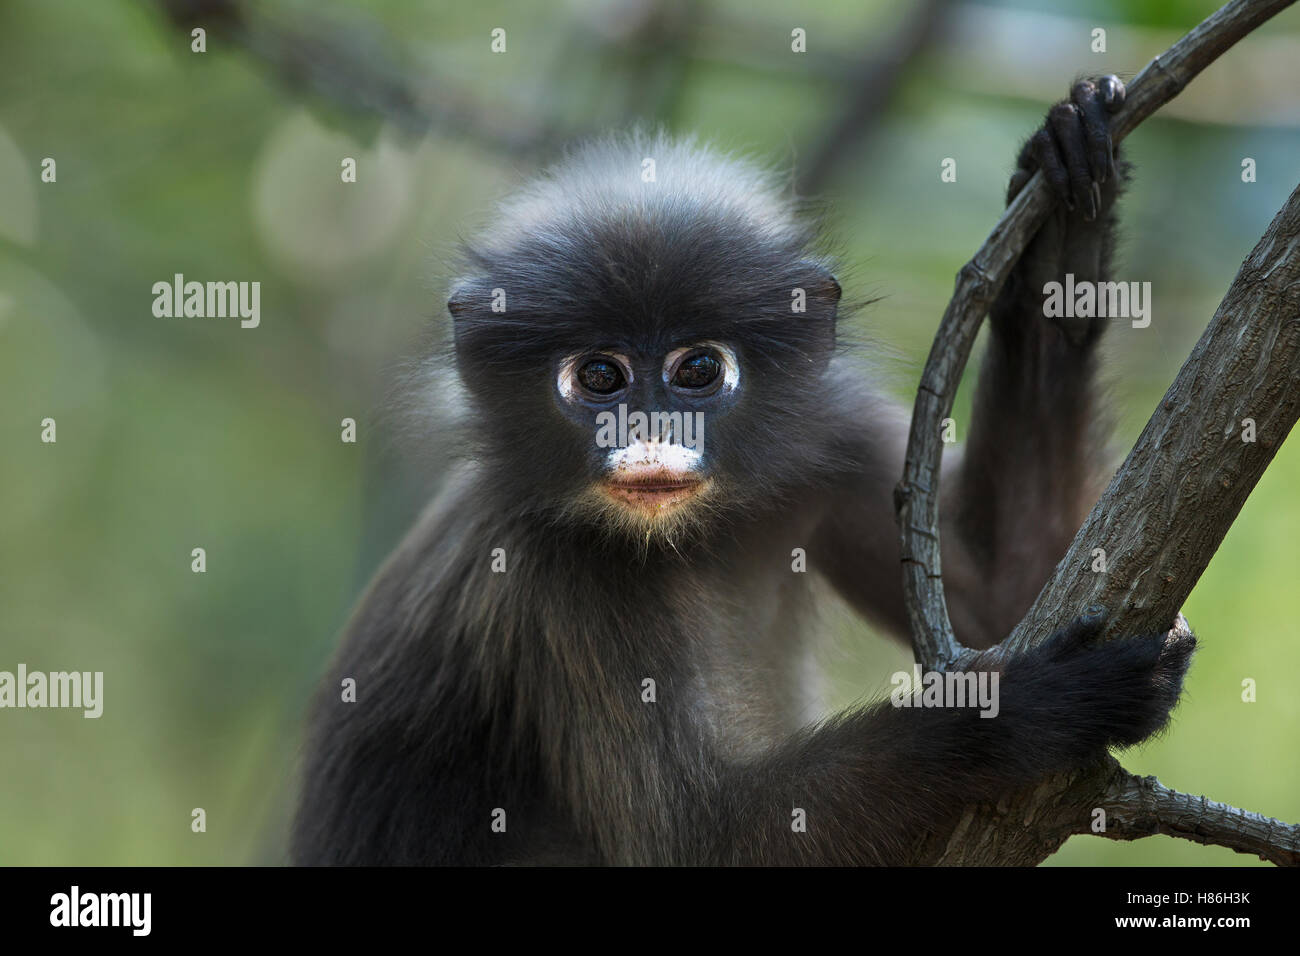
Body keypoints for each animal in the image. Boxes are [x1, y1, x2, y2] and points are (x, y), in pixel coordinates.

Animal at [291, 75, 1195, 866]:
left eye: (697, 370)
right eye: (599, 377)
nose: (650, 432)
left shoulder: (834, 437)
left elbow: (1004, 592)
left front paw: (1059, 244)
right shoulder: (552, 564)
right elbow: (695, 840)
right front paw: (1031, 702)